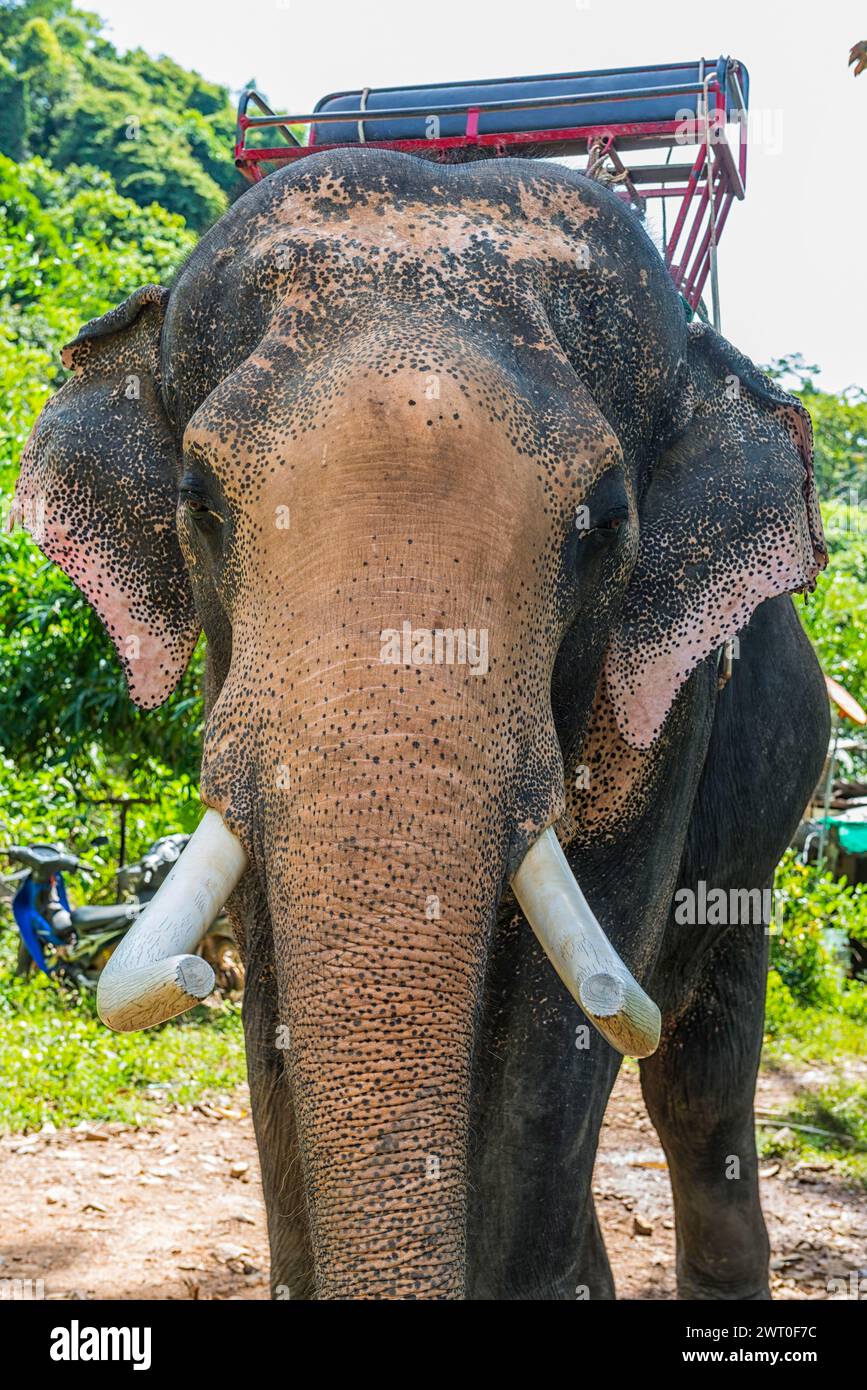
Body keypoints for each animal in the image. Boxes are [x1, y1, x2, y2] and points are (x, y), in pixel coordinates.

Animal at [13, 148, 829, 1300]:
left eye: (605, 520)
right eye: (199, 500)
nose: (189, 974)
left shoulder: (666, 714)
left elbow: (567, 1009)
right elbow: (273, 985)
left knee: (698, 1078)